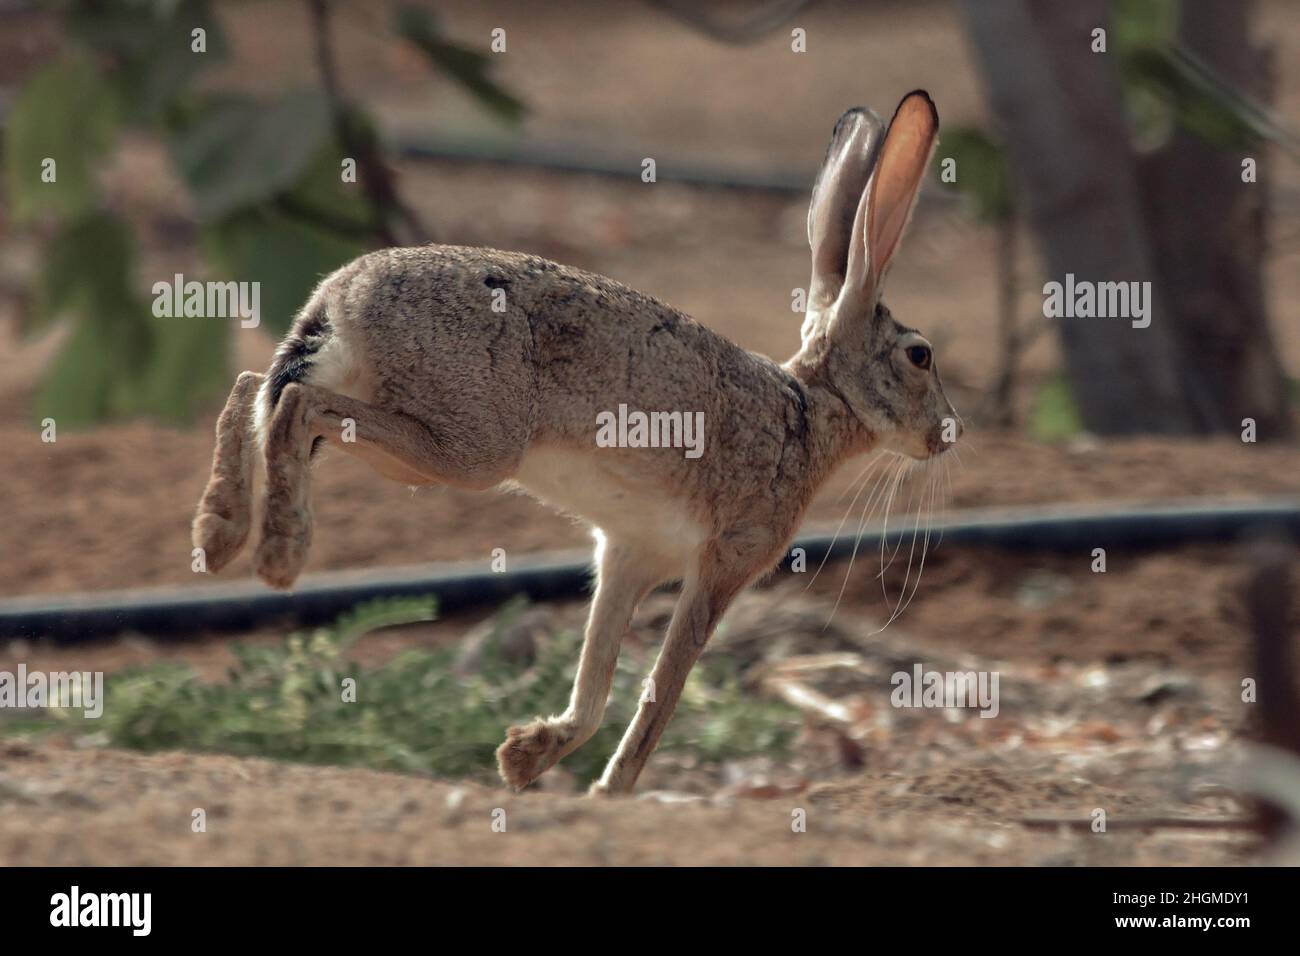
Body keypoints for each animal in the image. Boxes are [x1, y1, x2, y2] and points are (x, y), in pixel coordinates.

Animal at [192, 89, 960, 795]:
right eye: (920, 356)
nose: (948, 433)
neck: (810, 408)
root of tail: (341, 300)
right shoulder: (725, 562)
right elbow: (662, 689)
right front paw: (611, 790)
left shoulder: (629, 555)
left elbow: (596, 681)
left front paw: (524, 757)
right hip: (466, 448)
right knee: (295, 404)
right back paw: (278, 550)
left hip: (397, 419)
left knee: (253, 388)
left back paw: (218, 533)